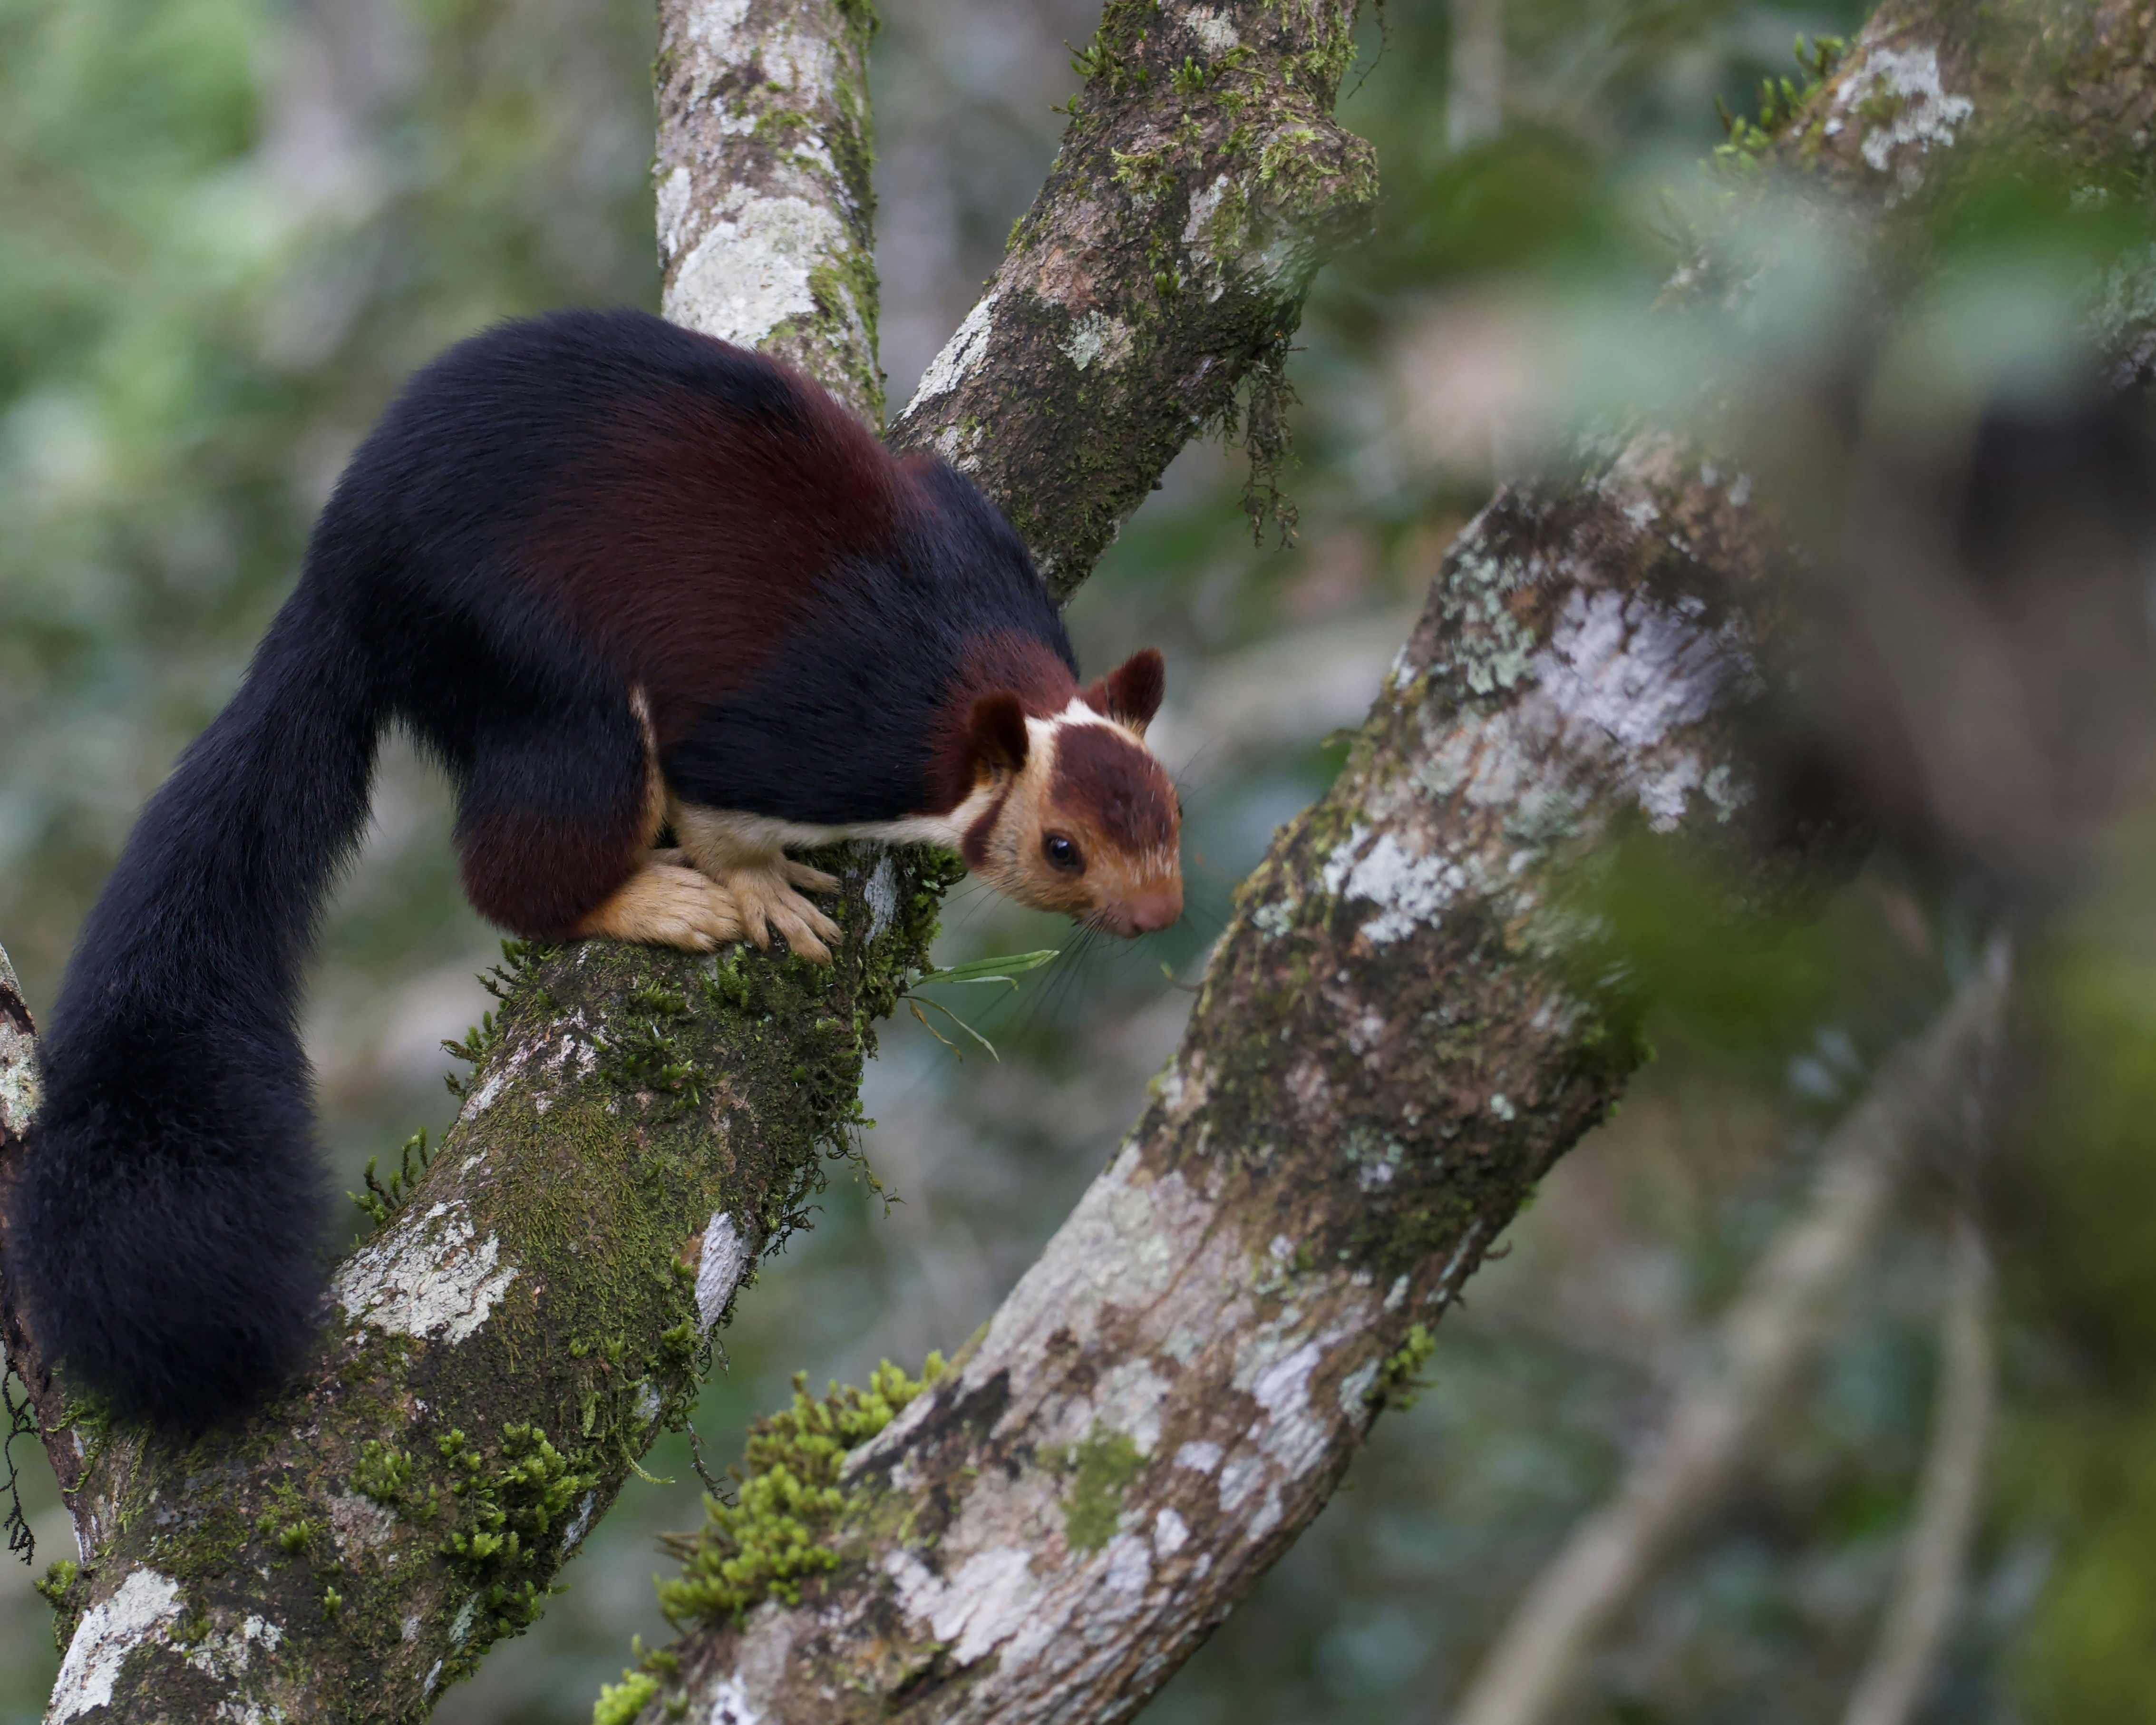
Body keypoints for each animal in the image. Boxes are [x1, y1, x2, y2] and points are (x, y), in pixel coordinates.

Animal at [12, 308, 1183, 1428]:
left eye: (1170, 809)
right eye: (1061, 848)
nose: (1160, 912)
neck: (962, 667)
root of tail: (339, 572)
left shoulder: (980, 541)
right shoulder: (792, 740)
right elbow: (716, 804)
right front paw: (759, 889)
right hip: (520, 654)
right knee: (522, 855)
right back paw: (648, 897)